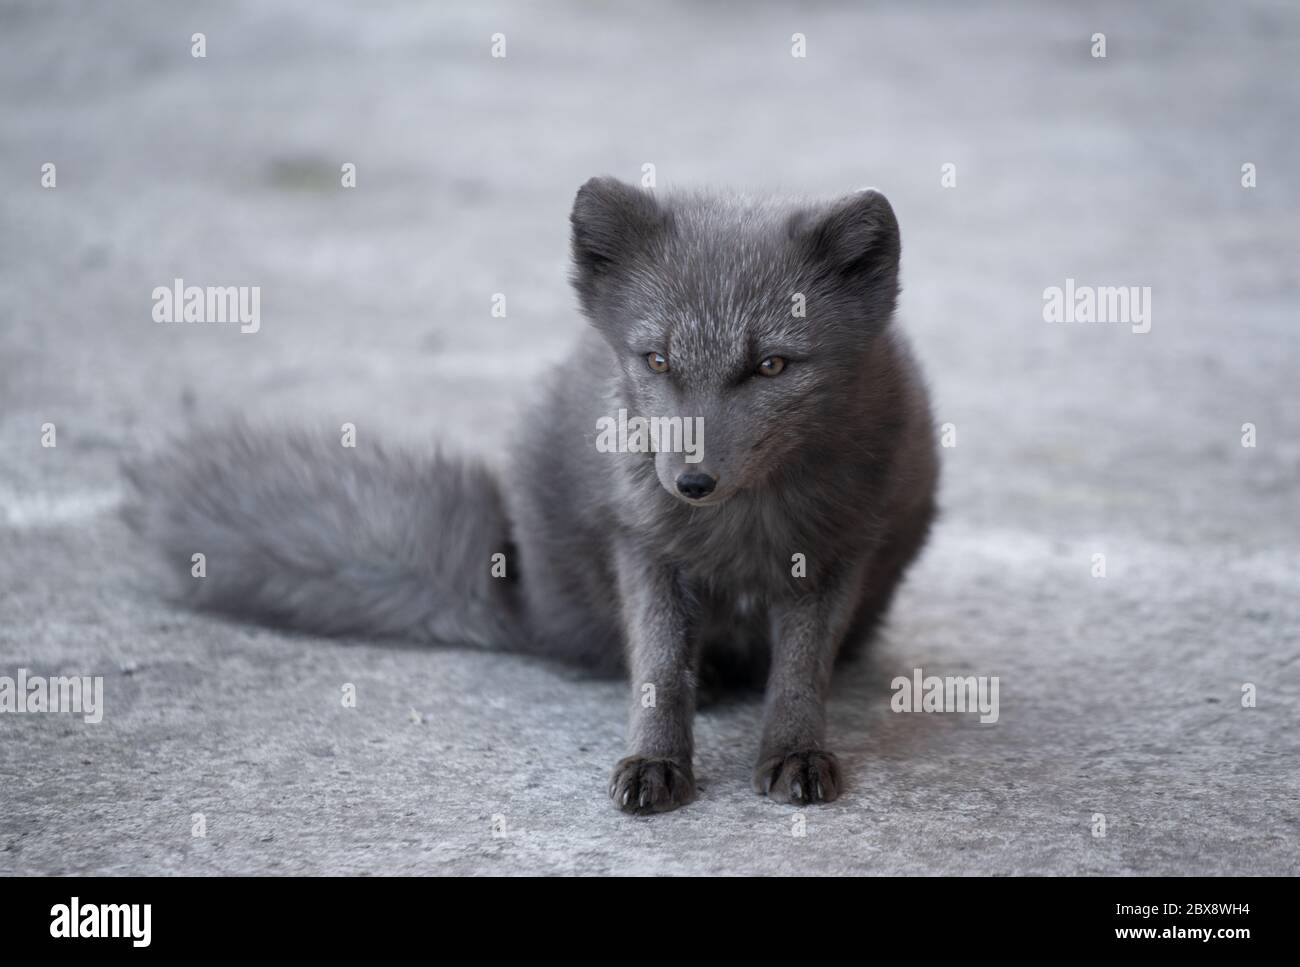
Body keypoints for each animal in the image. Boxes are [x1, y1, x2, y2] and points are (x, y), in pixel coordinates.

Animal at [124, 177, 939, 814]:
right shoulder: (641, 544)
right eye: (657, 360)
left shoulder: (835, 553)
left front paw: (796, 752)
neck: (740, 526)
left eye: (772, 364)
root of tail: (523, 598)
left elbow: (799, 673)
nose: (691, 482)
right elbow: (657, 669)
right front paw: (654, 763)